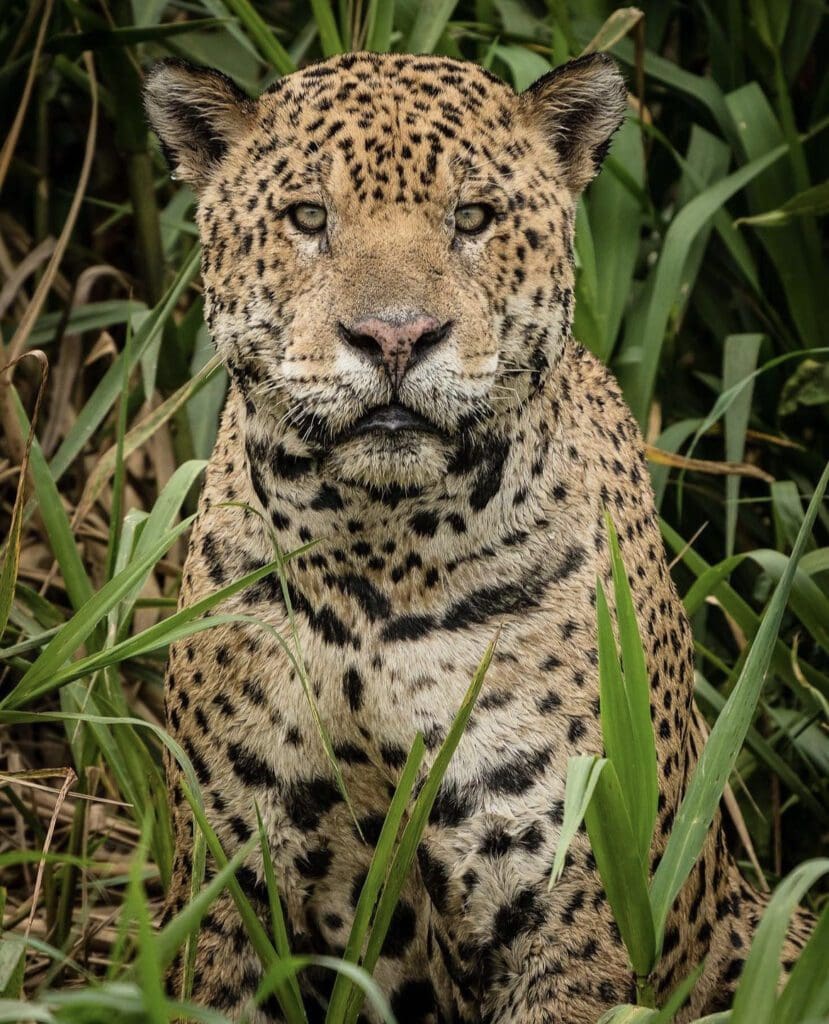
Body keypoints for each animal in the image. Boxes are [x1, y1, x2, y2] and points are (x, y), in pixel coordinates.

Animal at [144, 50, 809, 1023]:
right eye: (307, 218)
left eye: (472, 219)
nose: (394, 337)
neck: (378, 552)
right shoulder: (233, 875)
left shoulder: (566, 896)